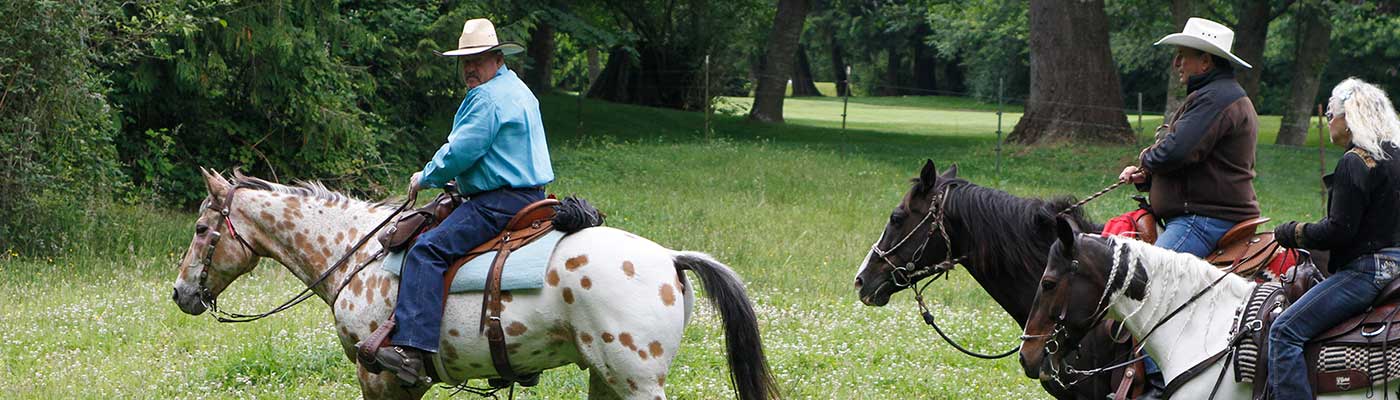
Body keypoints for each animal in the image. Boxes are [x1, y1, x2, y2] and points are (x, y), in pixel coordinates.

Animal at [170, 168, 779, 400]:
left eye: (200, 229)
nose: (180, 294)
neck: (355, 255)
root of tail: (671, 259)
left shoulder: (380, 374)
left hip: (636, 382)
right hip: (607, 379)